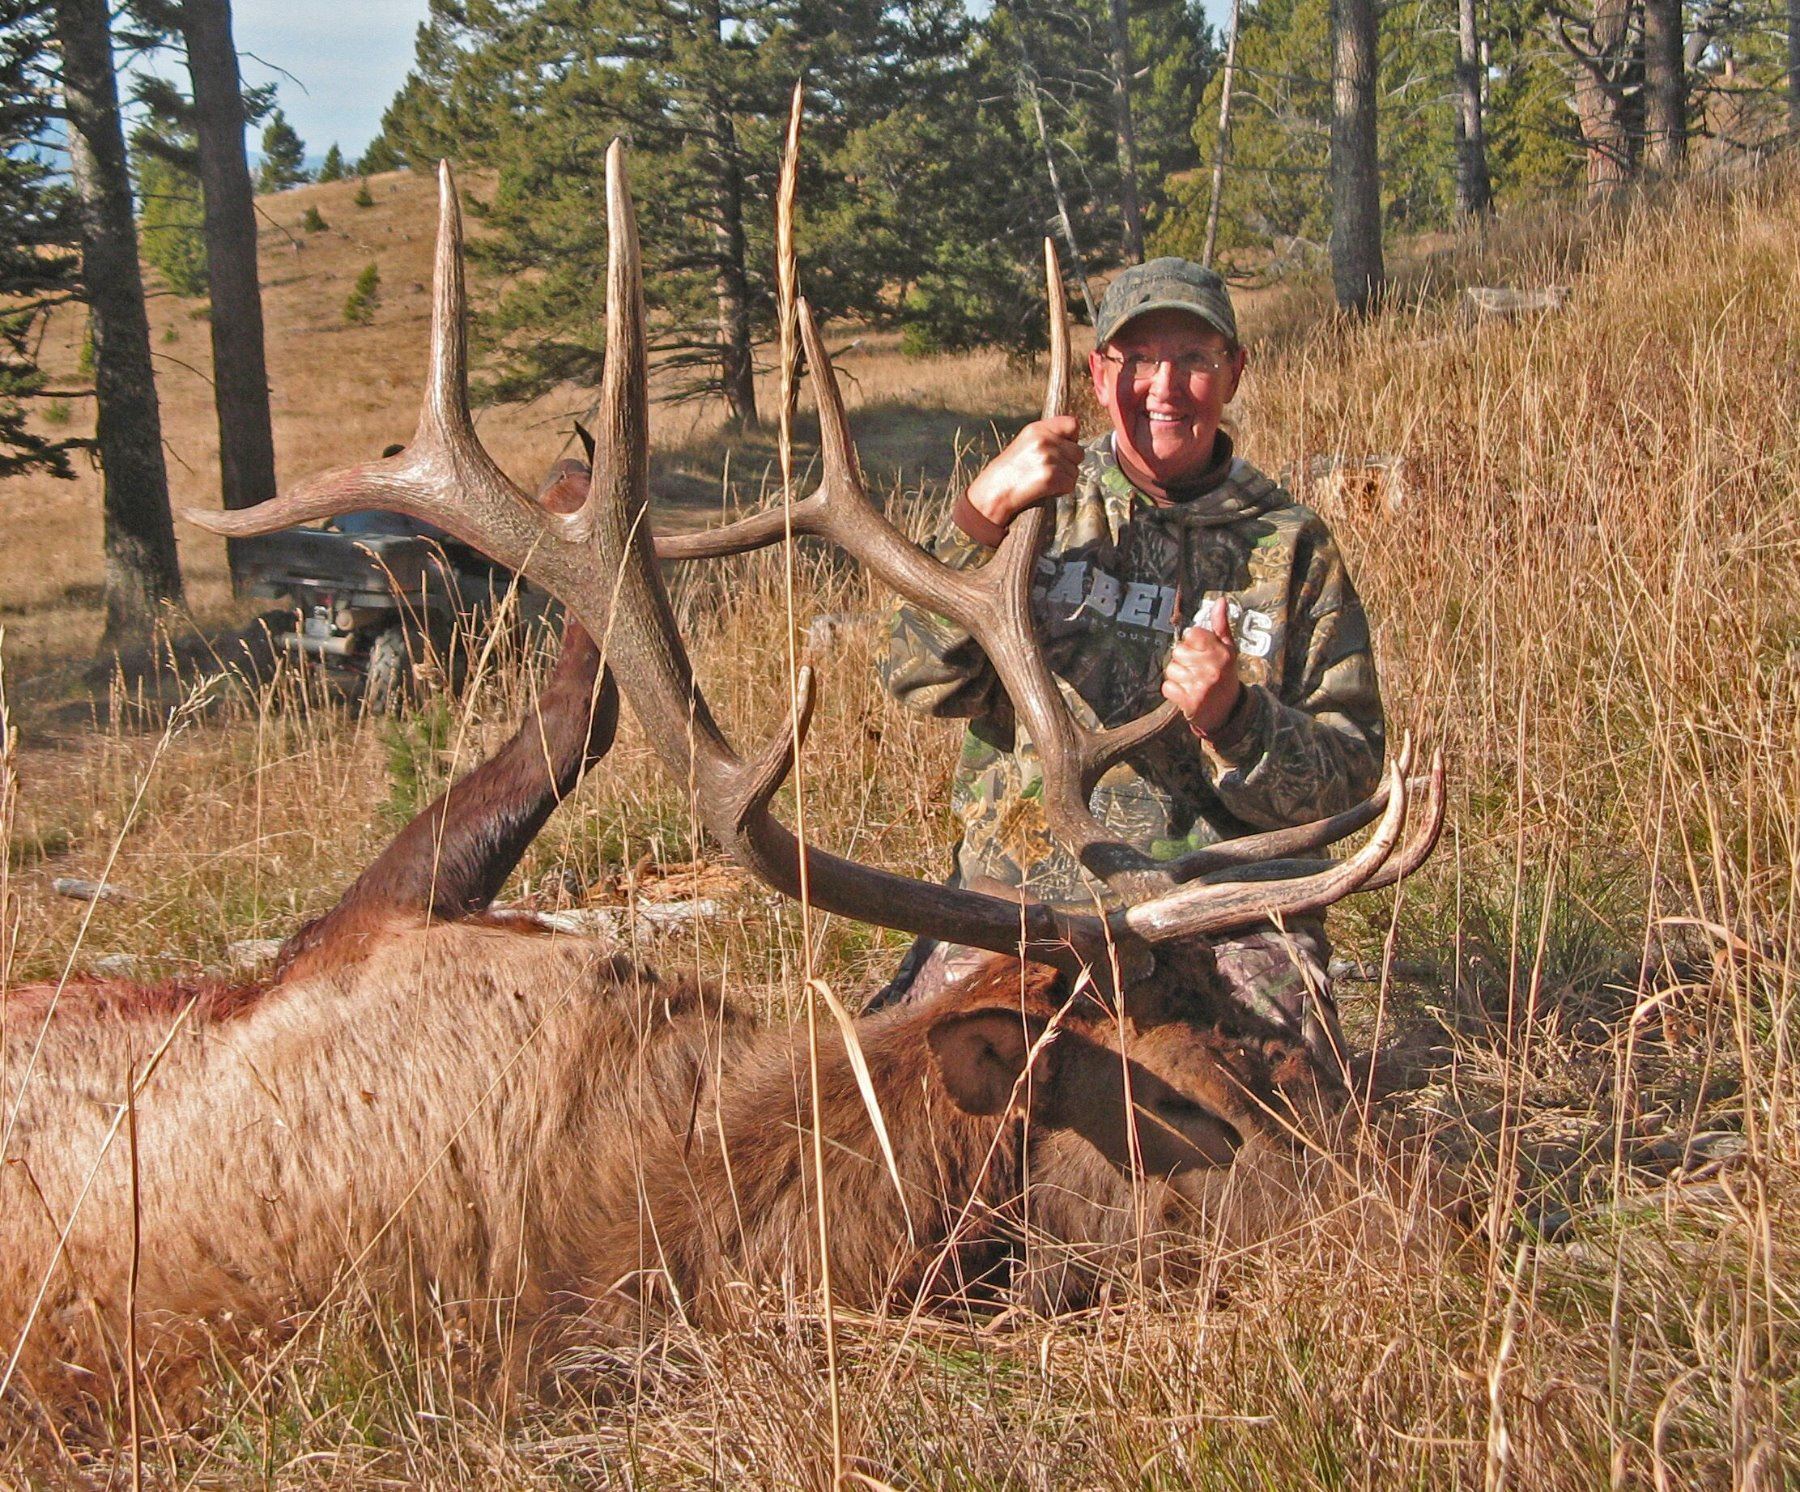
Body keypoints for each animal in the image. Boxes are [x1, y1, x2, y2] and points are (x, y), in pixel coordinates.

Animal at [0, 140, 1445, 1422]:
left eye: (1272, 1058)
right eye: (1235, 1086)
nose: (1428, 1212)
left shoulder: (371, 949)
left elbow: (530, 756)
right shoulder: (378, 939)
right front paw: (579, 482)